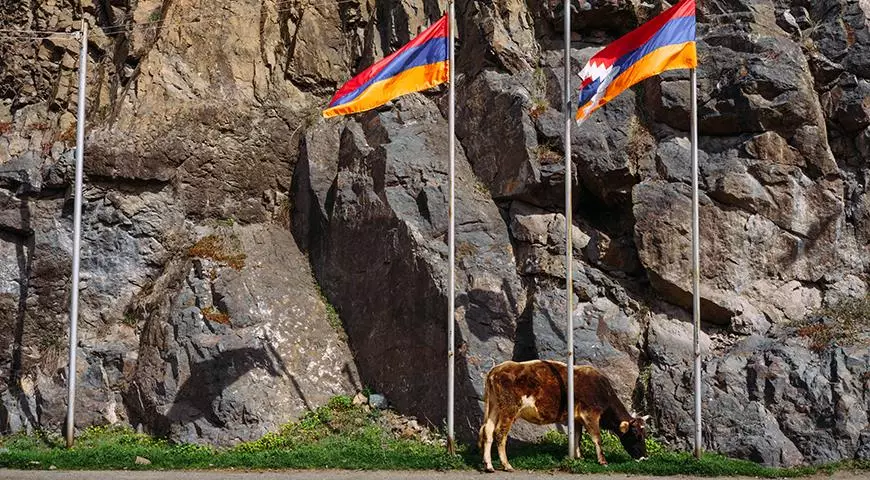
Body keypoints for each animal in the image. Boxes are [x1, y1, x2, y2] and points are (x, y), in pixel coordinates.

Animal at [480, 362, 652, 470]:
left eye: (644, 434)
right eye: (636, 435)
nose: (645, 457)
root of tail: (496, 369)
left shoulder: (577, 419)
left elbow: (577, 437)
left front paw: (578, 457)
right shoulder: (591, 414)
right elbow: (597, 438)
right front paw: (602, 461)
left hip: (494, 407)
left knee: (487, 431)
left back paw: (489, 465)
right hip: (509, 409)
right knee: (500, 433)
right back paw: (506, 465)